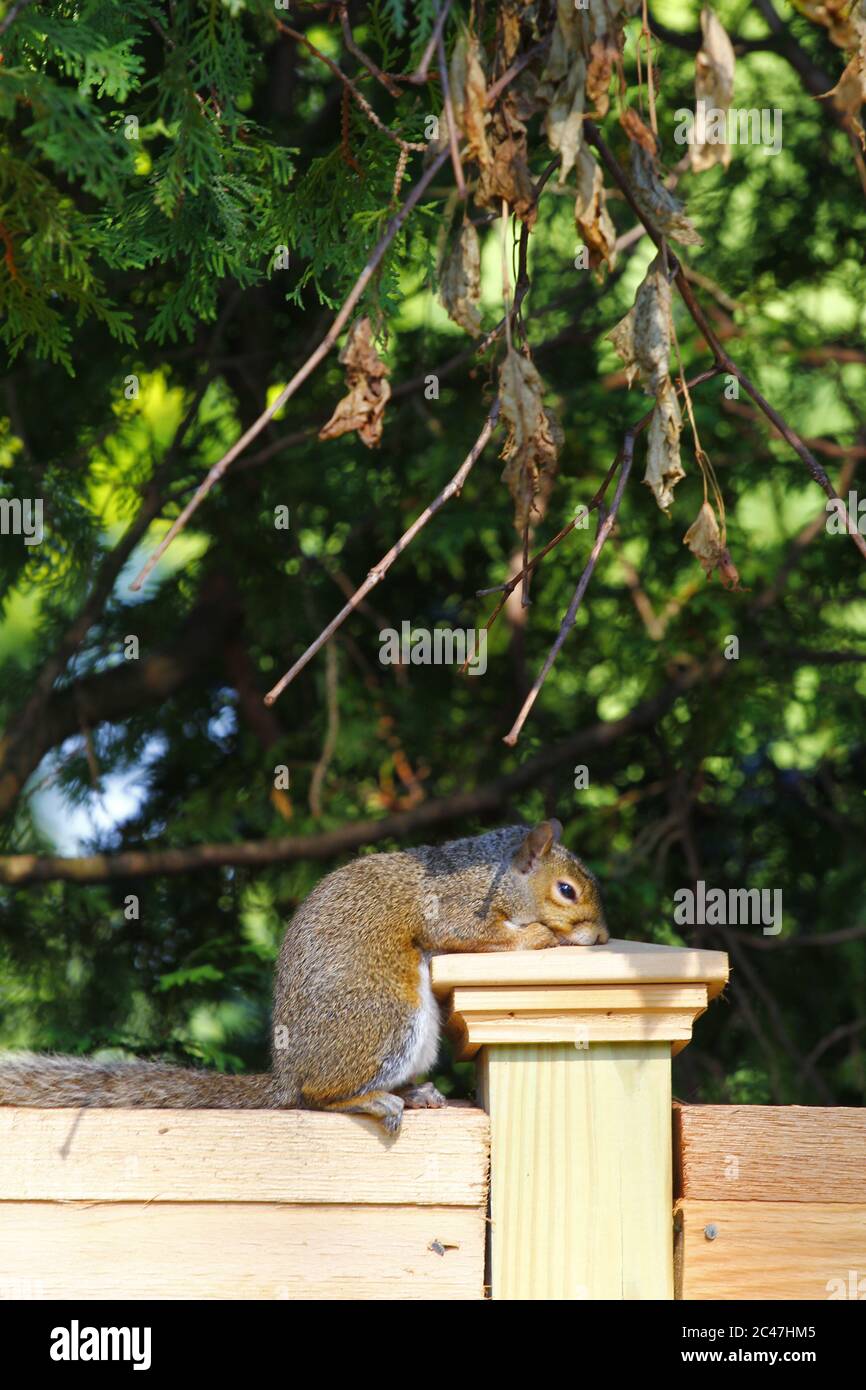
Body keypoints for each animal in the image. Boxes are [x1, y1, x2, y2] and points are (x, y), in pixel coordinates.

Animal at [0, 820, 607, 1133]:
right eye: (566, 891)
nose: (602, 938)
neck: (496, 876)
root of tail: (289, 1076)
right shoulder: (456, 909)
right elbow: (479, 935)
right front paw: (543, 937)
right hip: (387, 1017)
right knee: (320, 1097)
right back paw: (376, 1101)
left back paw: (413, 1093)